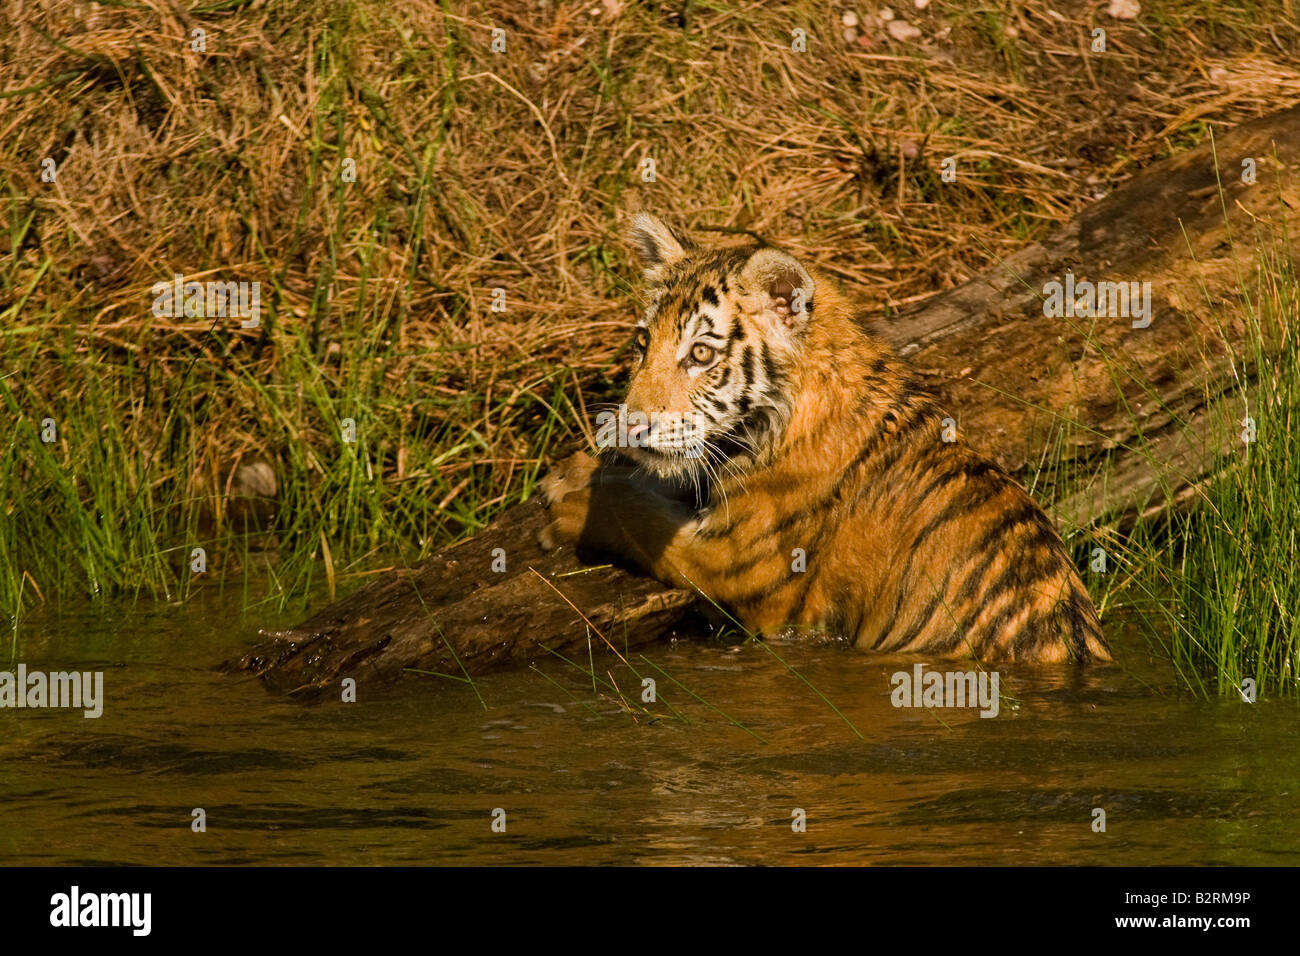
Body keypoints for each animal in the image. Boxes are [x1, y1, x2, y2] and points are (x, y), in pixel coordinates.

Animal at [538, 212, 1110, 663]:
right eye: (642, 342)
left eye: (700, 354)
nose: (630, 427)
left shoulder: (741, 566)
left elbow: (636, 515)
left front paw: (568, 493)